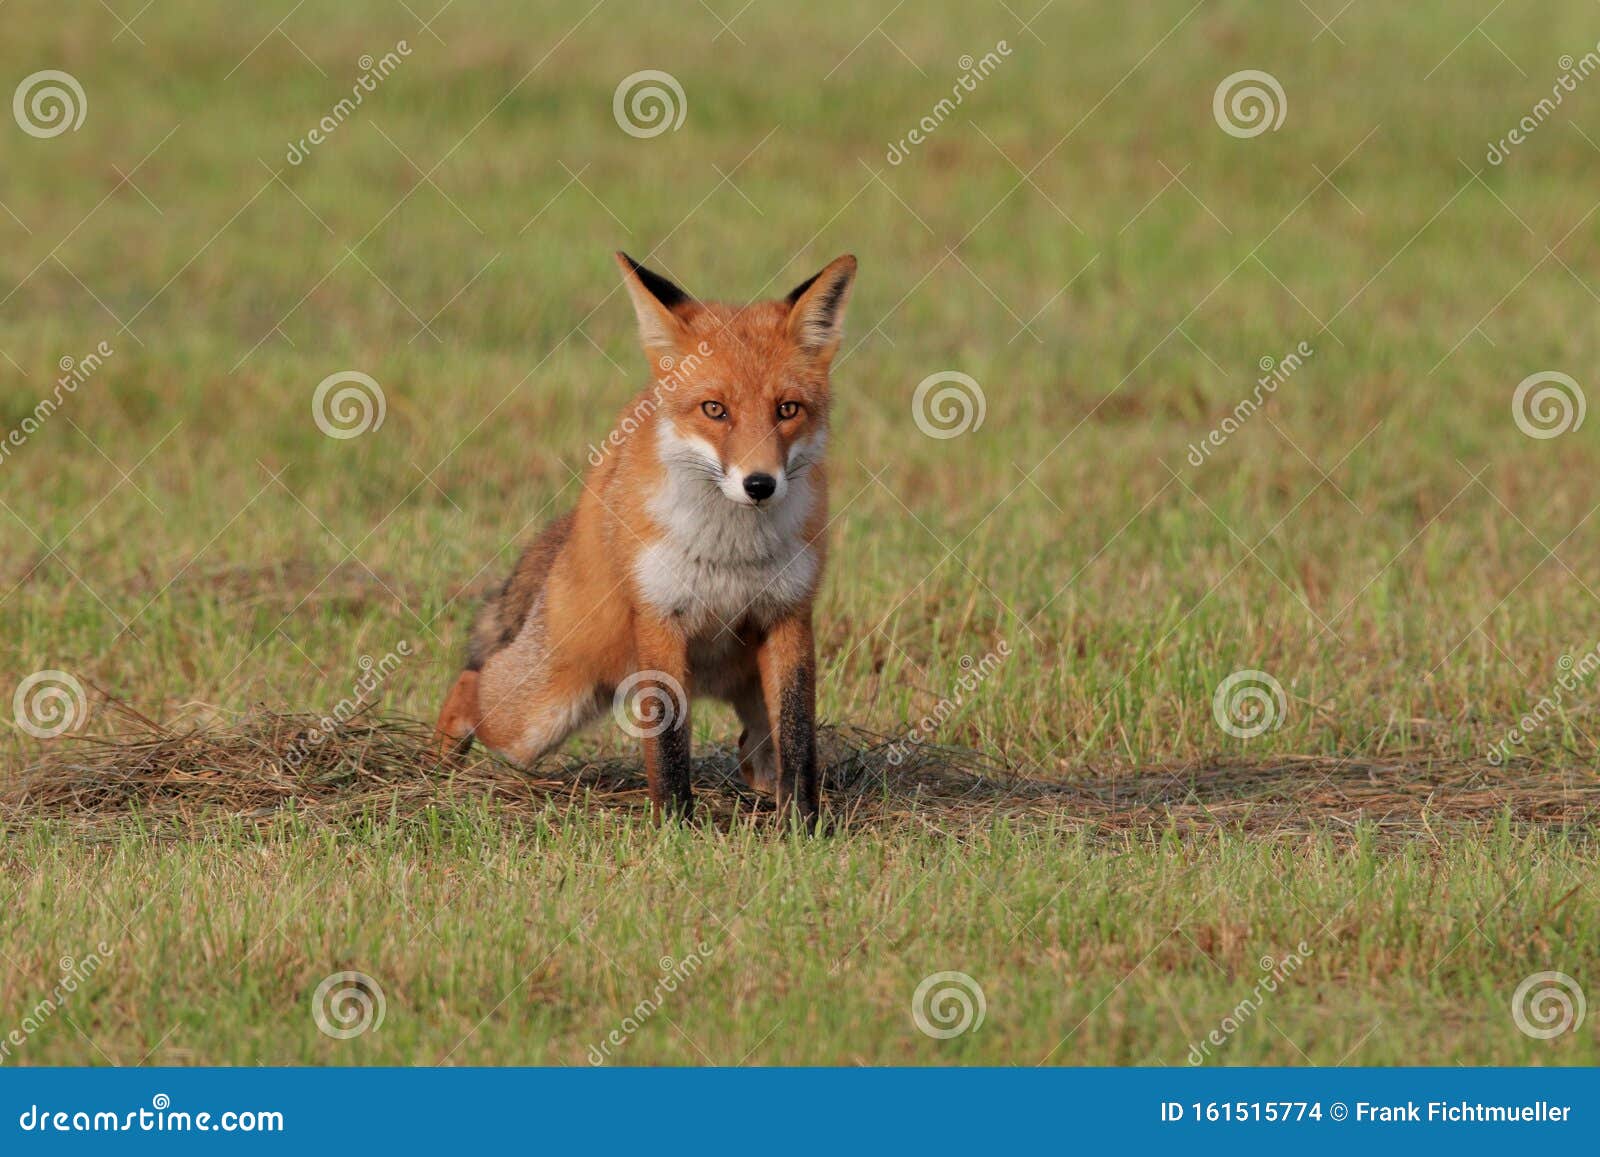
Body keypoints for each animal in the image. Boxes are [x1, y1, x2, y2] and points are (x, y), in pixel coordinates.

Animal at [433, 251, 857, 828]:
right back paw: (436, 766)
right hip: (533, 719)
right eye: (714, 409)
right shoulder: (661, 617)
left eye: (787, 410)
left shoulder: (789, 616)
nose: (760, 484)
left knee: (754, 751)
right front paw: (675, 824)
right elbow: (669, 740)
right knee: (472, 682)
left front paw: (802, 824)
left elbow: (799, 737)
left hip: (745, 692)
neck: (731, 551)